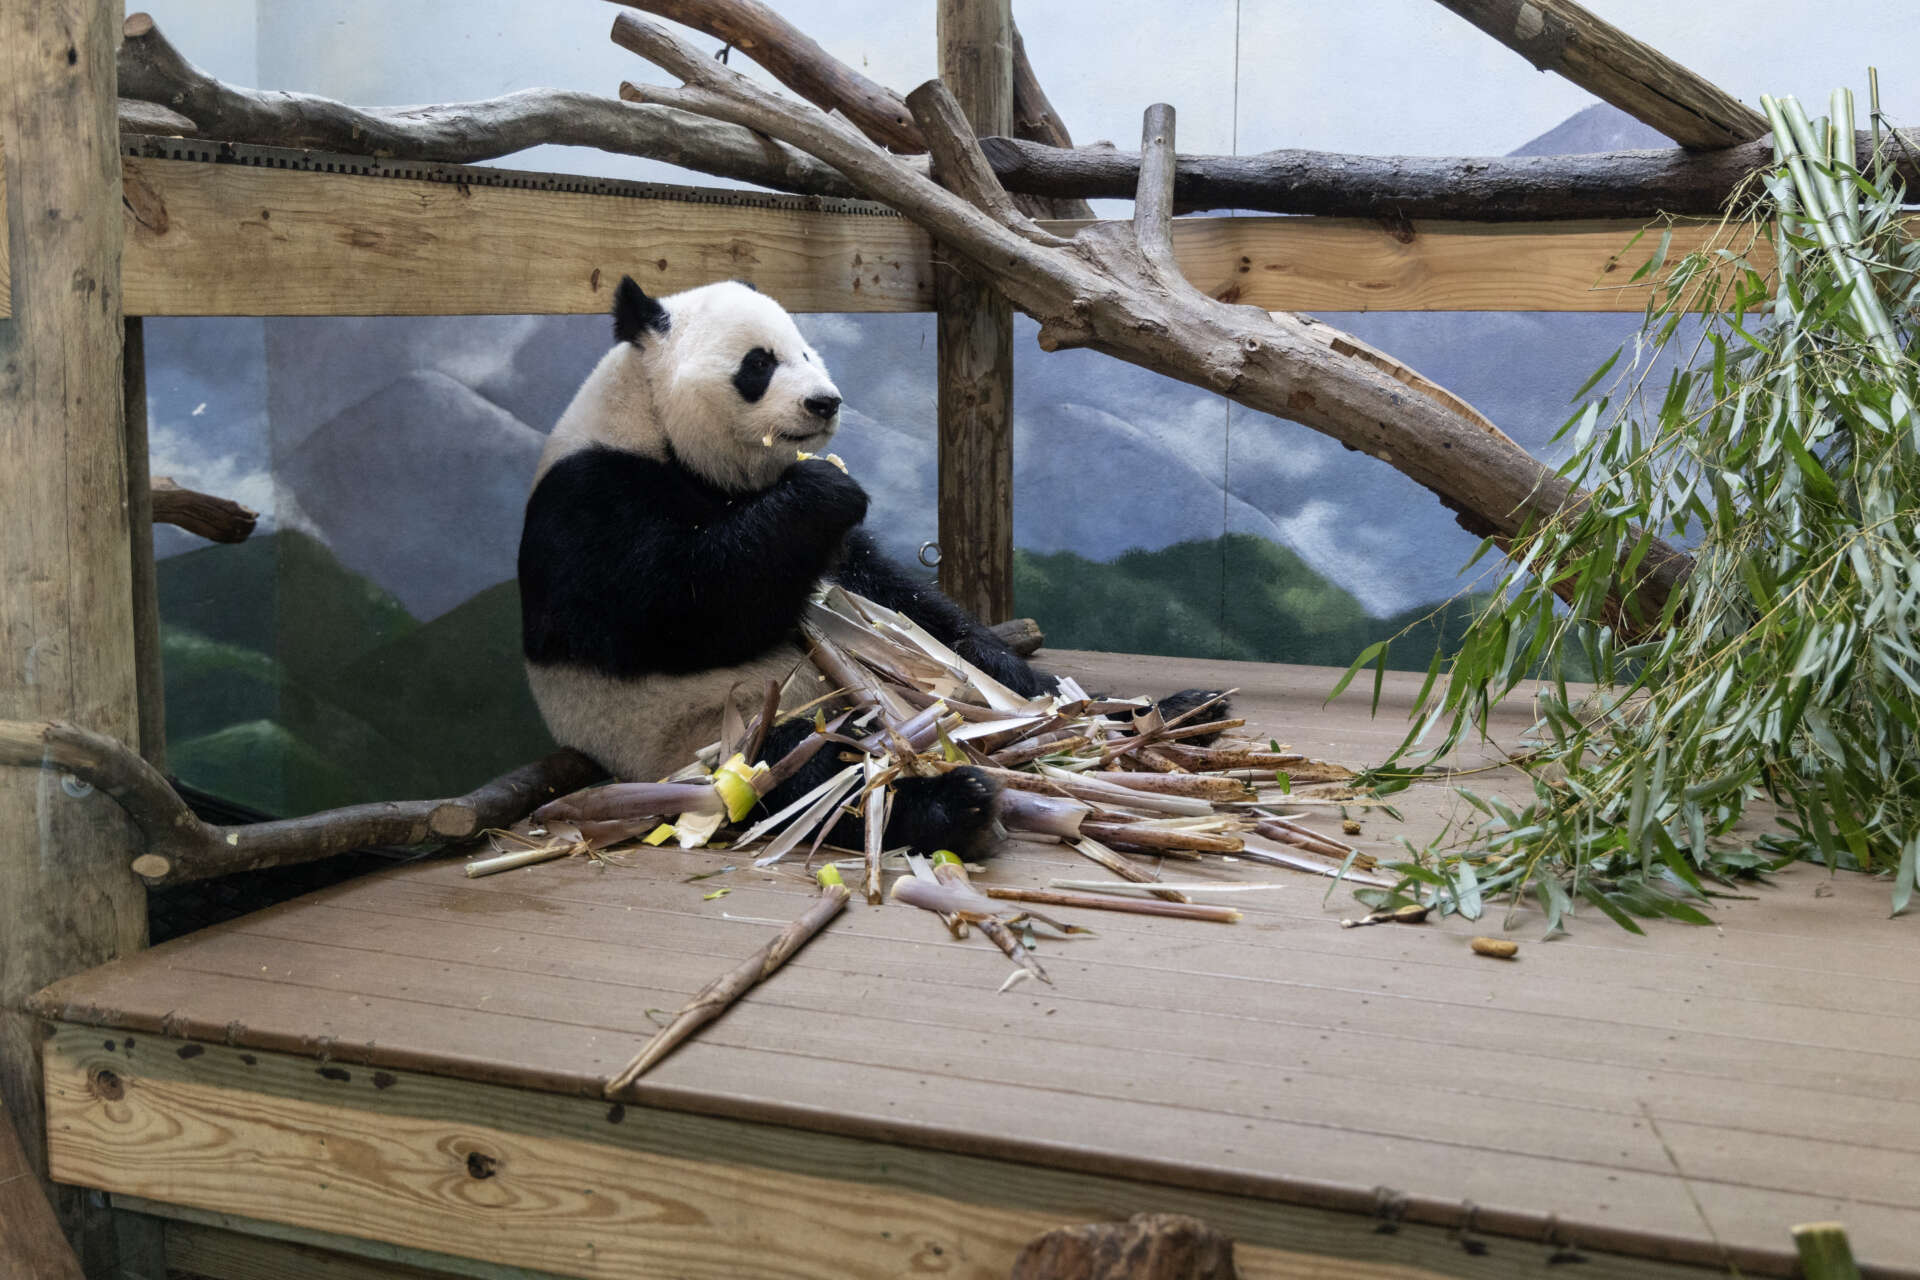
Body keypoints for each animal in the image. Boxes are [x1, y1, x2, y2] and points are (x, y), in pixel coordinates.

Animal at [518, 276, 1222, 858]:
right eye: (758, 363)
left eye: (807, 352)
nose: (824, 403)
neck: (657, 427)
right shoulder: (593, 499)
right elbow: (675, 611)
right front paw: (822, 491)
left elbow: (900, 602)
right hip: (706, 732)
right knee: (801, 772)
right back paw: (953, 803)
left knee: (1019, 691)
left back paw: (1167, 712)